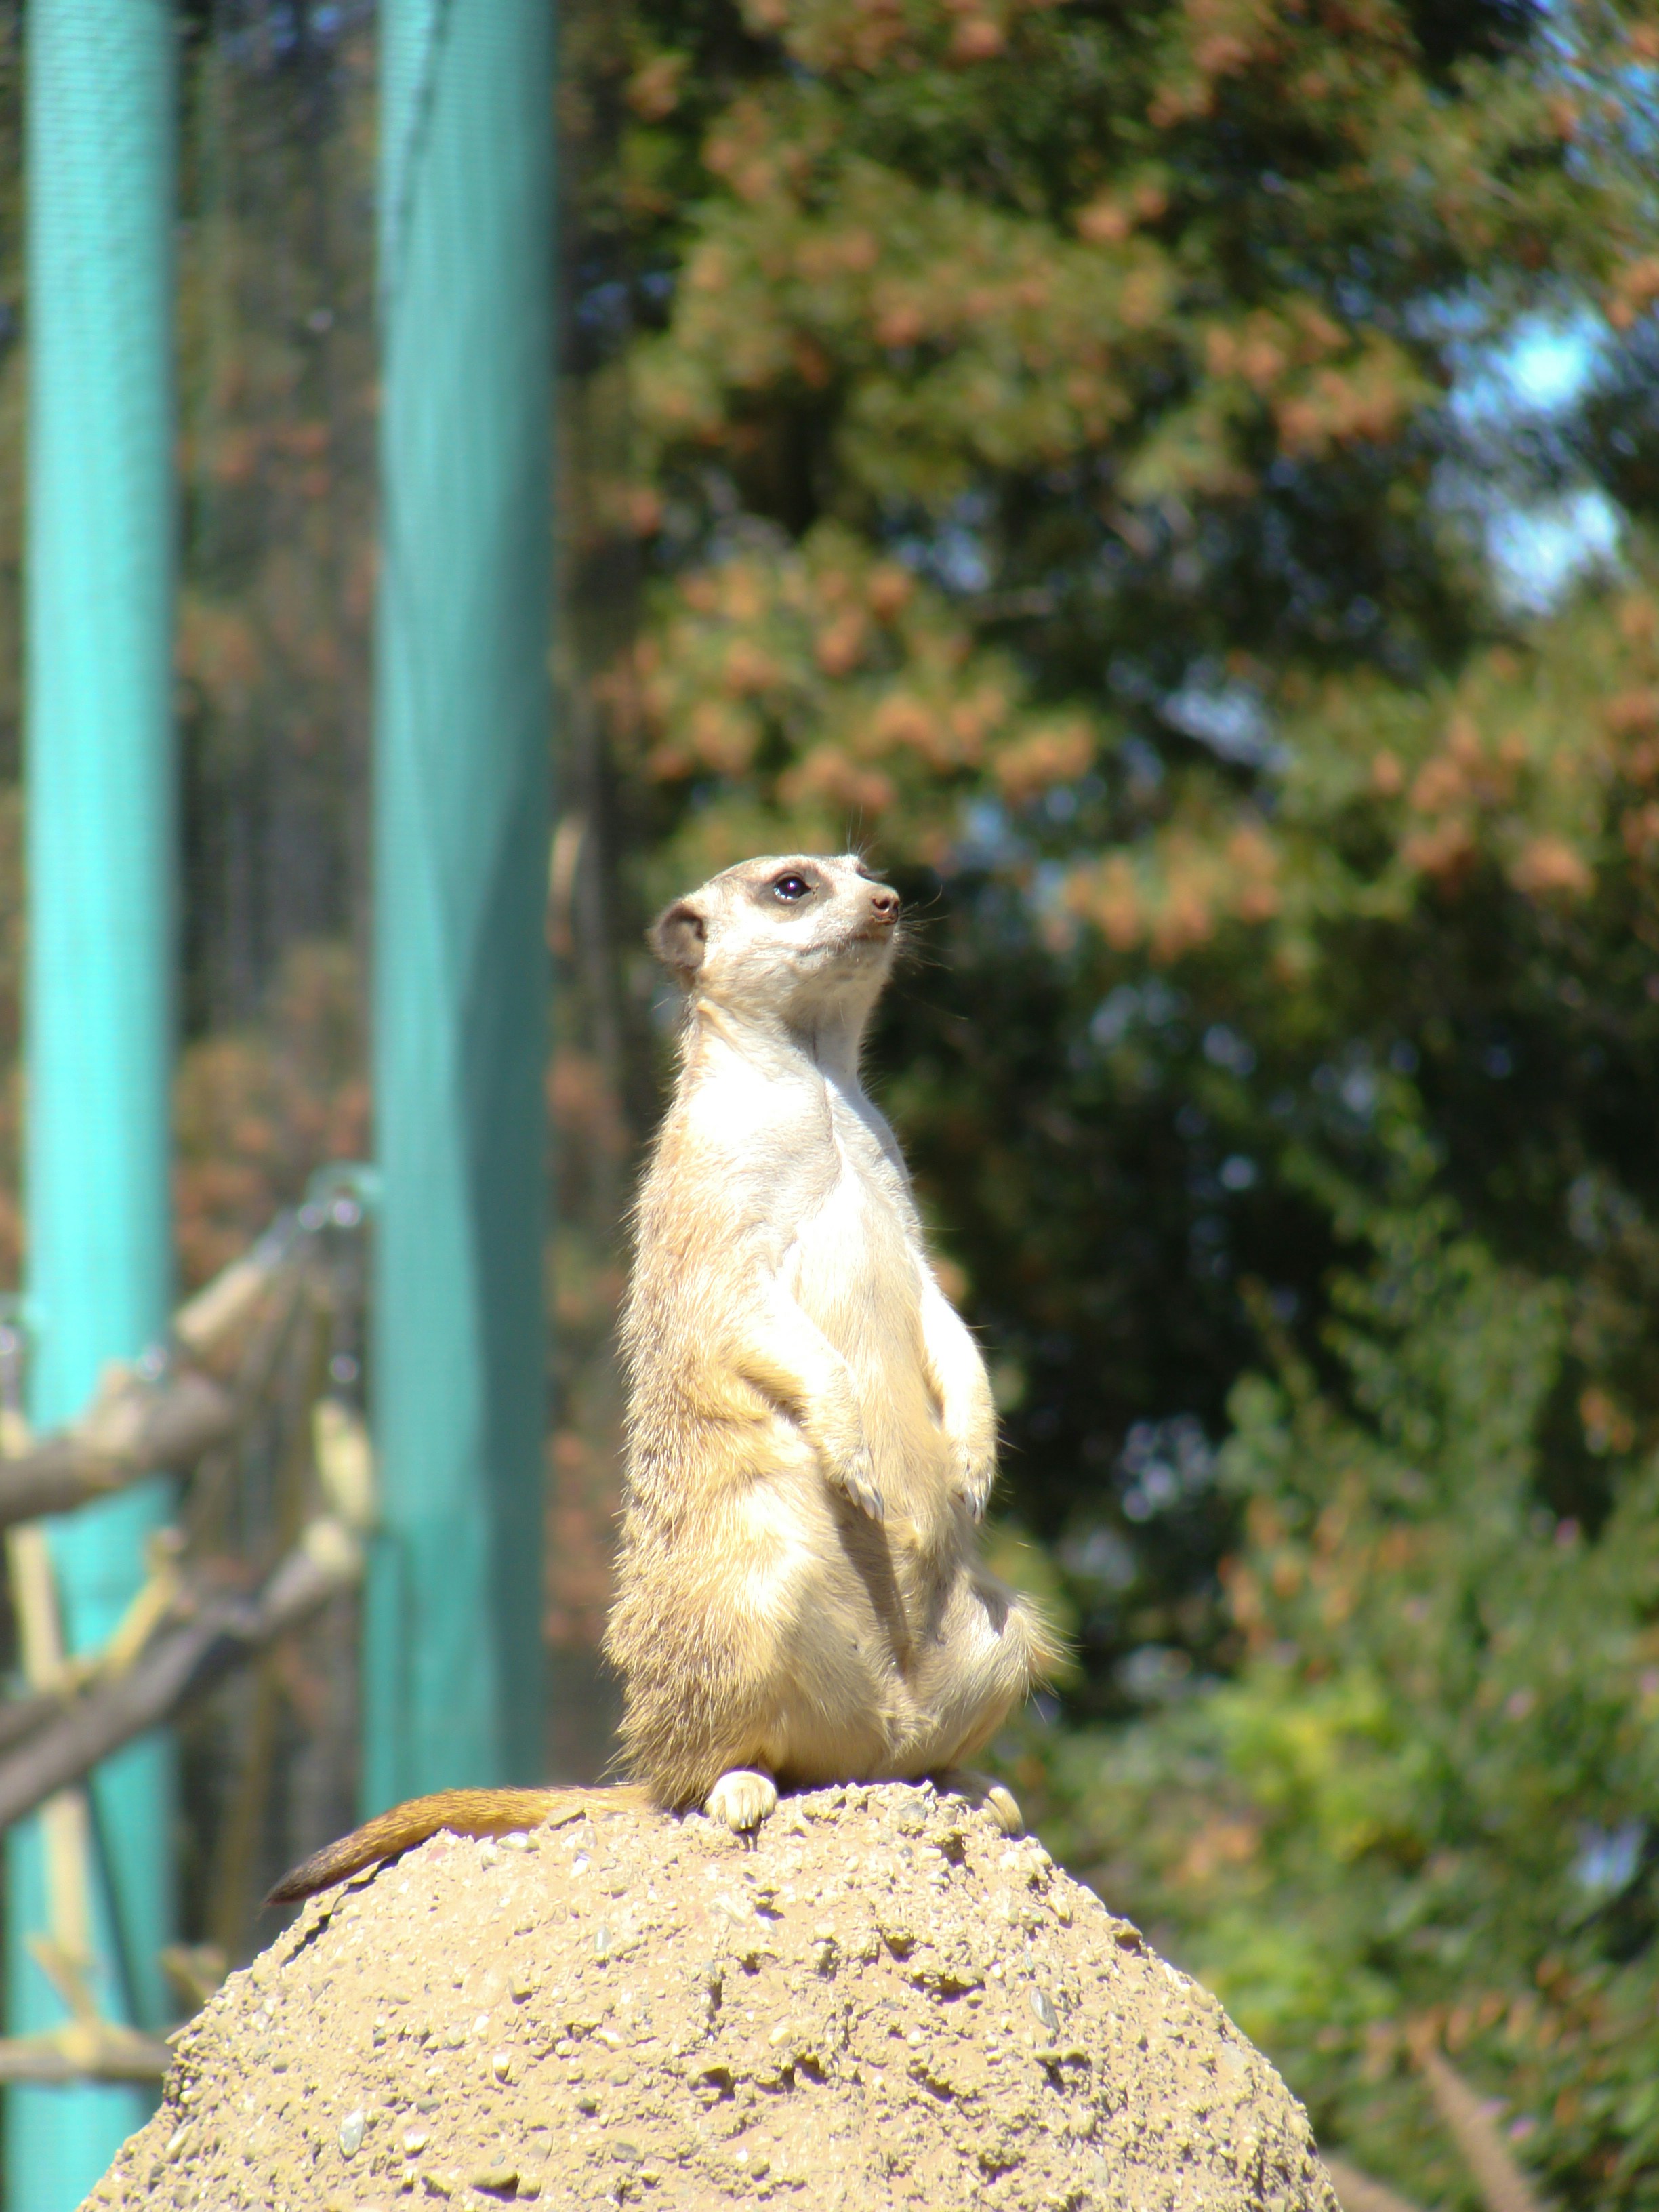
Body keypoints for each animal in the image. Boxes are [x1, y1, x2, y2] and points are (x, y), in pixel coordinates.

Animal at [269, 853, 1056, 1906]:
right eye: (794, 884)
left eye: (864, 872)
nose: (890, 902)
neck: (819, 1094)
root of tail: (873, 1738)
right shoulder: (708, 1211)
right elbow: (750, 1314)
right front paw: (855, 1446)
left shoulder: (901, 1197)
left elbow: (941, 1311)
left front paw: (973, 1457)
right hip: (741, 1607)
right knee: (724, 1750)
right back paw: (736, 1784)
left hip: (996, 1634)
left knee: (942, 1722)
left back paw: (972, 1782)